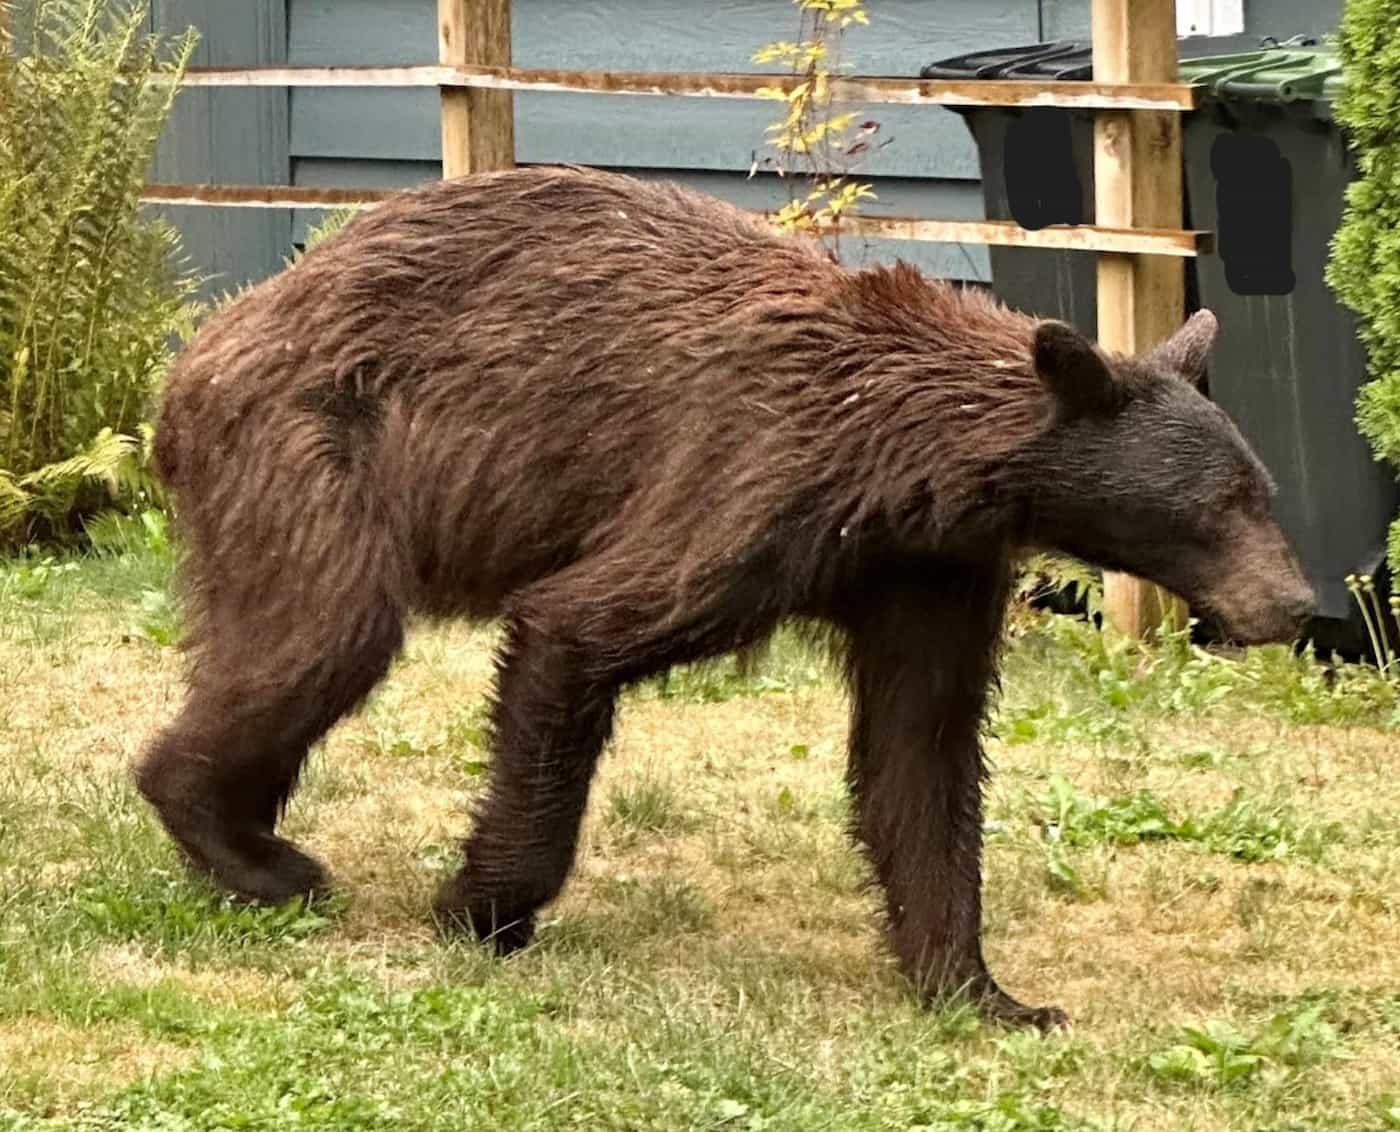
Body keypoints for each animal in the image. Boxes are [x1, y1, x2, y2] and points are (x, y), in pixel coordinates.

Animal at [136, 164, 1314, 1030]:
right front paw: (482, 906)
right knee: (319, 637)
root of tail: (198, 348)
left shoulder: (924, 571)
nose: (1297, 605)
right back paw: (259, 856)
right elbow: (578, 627)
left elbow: (920, 755)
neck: (904, 467)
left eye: (1260, 490)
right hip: (312, 453)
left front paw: (987, 990)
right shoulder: (752, 481)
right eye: (1219, 502)